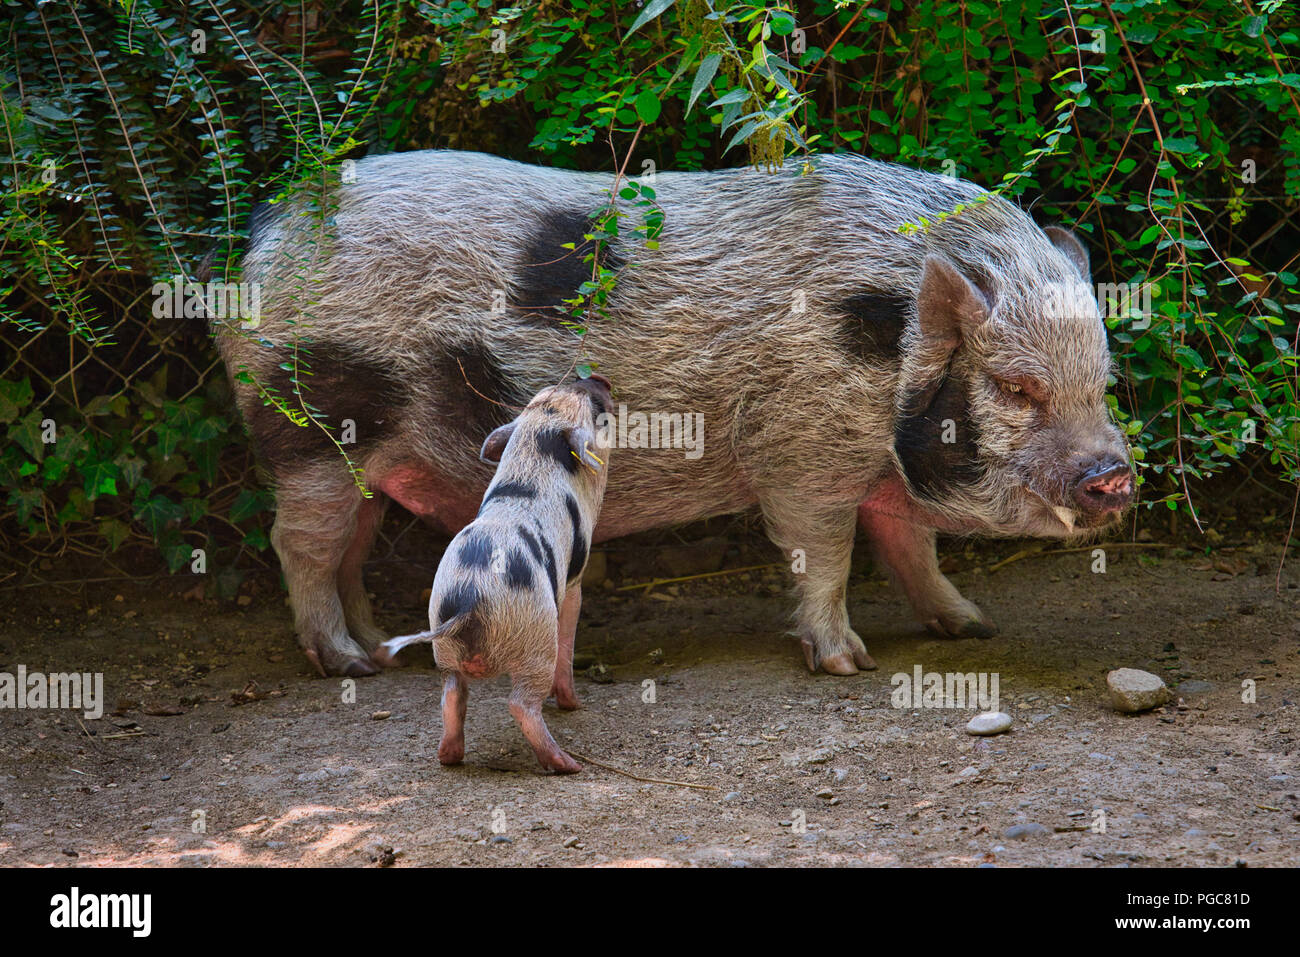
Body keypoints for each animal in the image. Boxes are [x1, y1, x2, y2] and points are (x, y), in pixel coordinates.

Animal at [213, 149, 1134, 679]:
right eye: (1016, 387)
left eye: (1103, 382)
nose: (1114, 474)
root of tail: (262, 233)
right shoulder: (801, 452)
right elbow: (826, 555)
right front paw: (846, 664)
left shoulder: (872, 467)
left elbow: (913, 546)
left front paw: (972, 627)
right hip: (310, 421)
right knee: (299, 544)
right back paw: (344, 665)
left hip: (369, 454)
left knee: (354, 545)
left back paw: (375, 644)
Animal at [378, 376, 612, 773]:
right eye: (596, 408)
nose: (597, 379)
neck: (536, 440)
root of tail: (470, 599)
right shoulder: (573, 577)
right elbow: (571, 625)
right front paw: (574, 705)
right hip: (536, 639)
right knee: (521, 703)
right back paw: (567, 764)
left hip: (445, 648)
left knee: (452, 693)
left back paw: (449, 757)